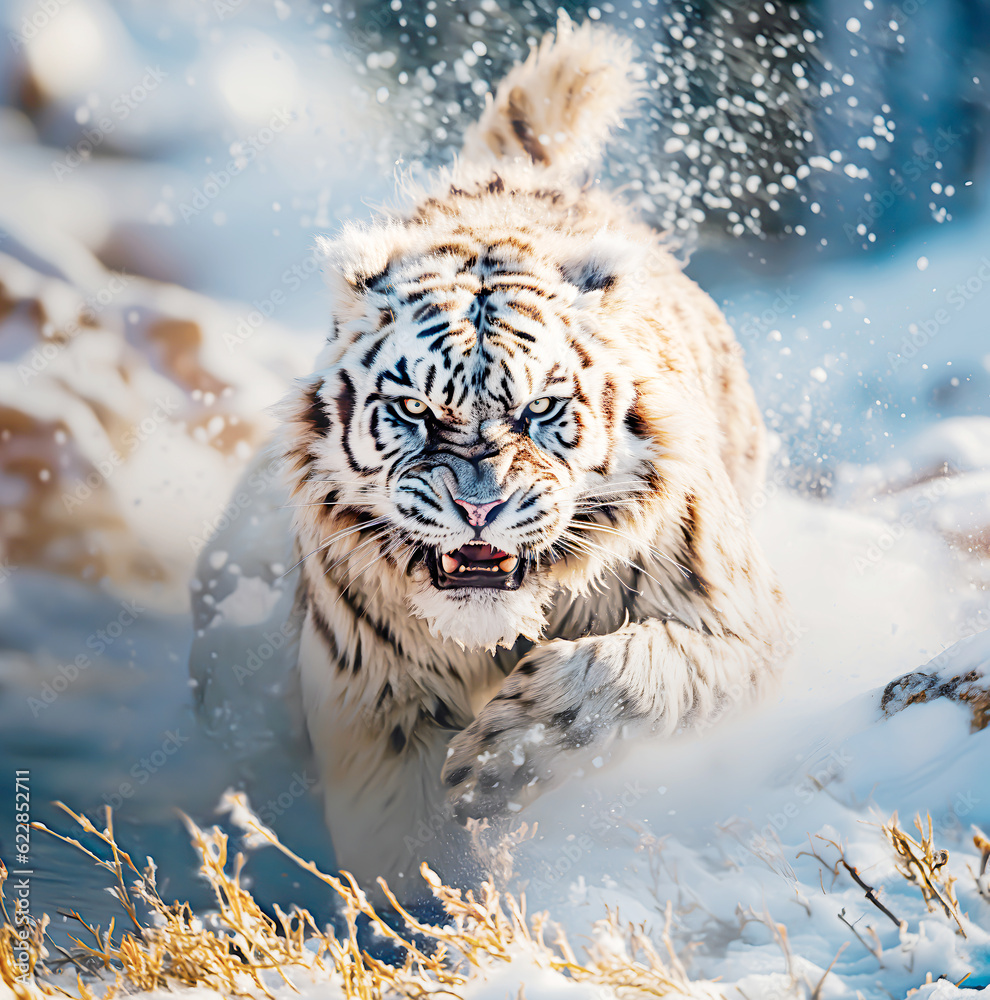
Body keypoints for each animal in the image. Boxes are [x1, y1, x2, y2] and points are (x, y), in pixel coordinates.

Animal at [276, 13, 792, 892]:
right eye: (417, 409)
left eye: (539, 409)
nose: (478, 506)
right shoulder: (369, 701)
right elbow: (400, 849)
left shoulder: (743, 635)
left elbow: (632, 673)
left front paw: (497, 758)